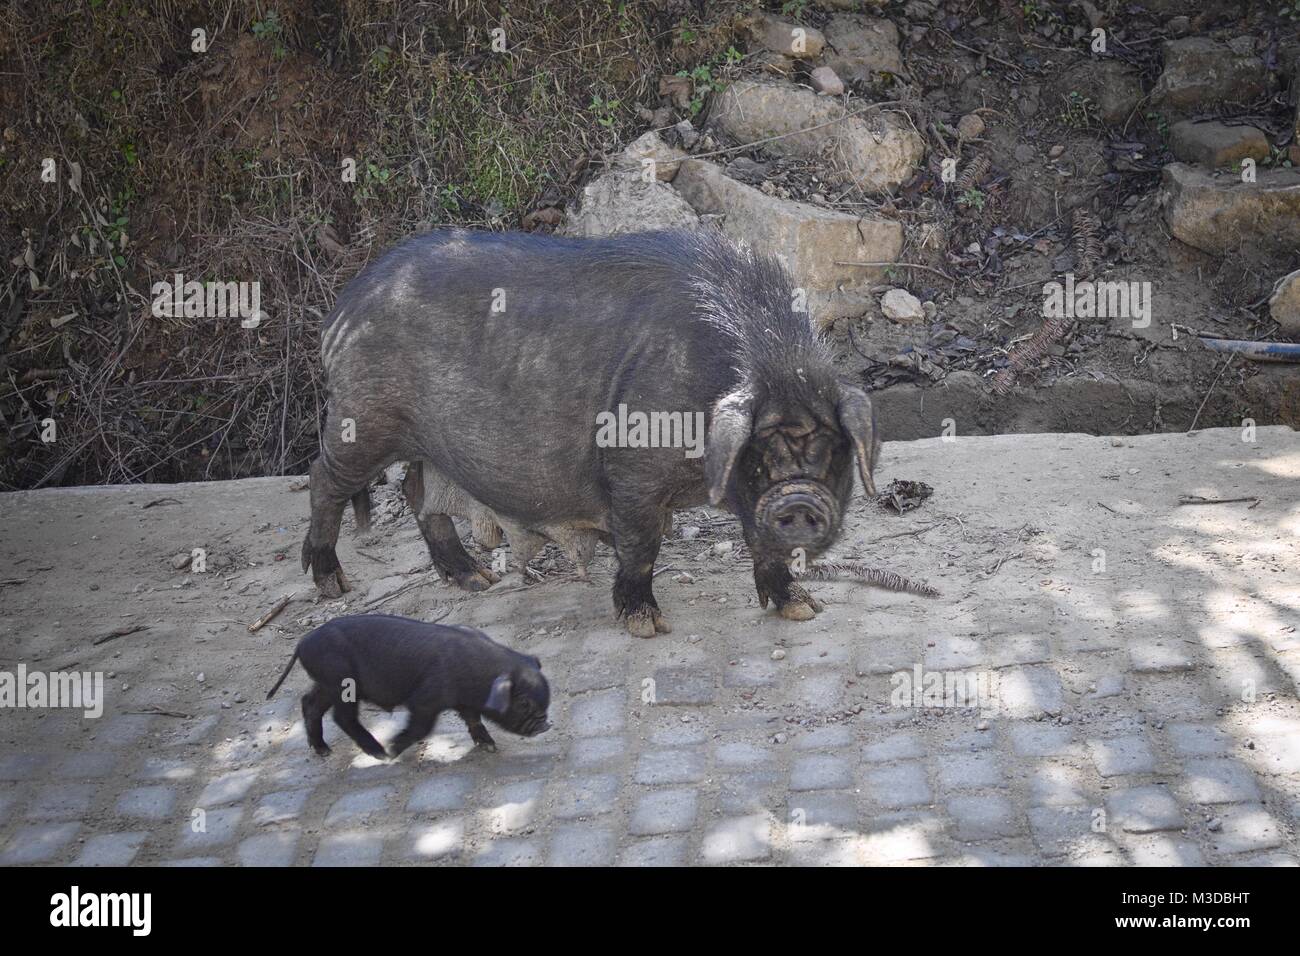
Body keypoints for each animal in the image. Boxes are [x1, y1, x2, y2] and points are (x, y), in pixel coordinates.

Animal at [265, 614, 550, 758]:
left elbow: (473, 719)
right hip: (340, 681)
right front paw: (394, 747)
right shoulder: (425, 700)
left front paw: (490, 747)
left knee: (309, 704)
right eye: (523, 703)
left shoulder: (463, 701)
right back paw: (381, 753)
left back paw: (324, 751)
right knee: (342, 716)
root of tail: (302, 643)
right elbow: (422, 727)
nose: (546, 725)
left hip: (326, 683)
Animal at [303, 227, 879, 638]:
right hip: (363, 419)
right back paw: (332, 584)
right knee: (323, 478)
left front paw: (805, 610)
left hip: (424, 444)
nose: (799, 499)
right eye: (756, 455)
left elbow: (762, 545)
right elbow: (642, 543)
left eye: (834, 453)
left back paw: (475, 580)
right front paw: (646, 626)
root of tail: (341, 309)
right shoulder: (632, 467)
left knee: (416, 491)